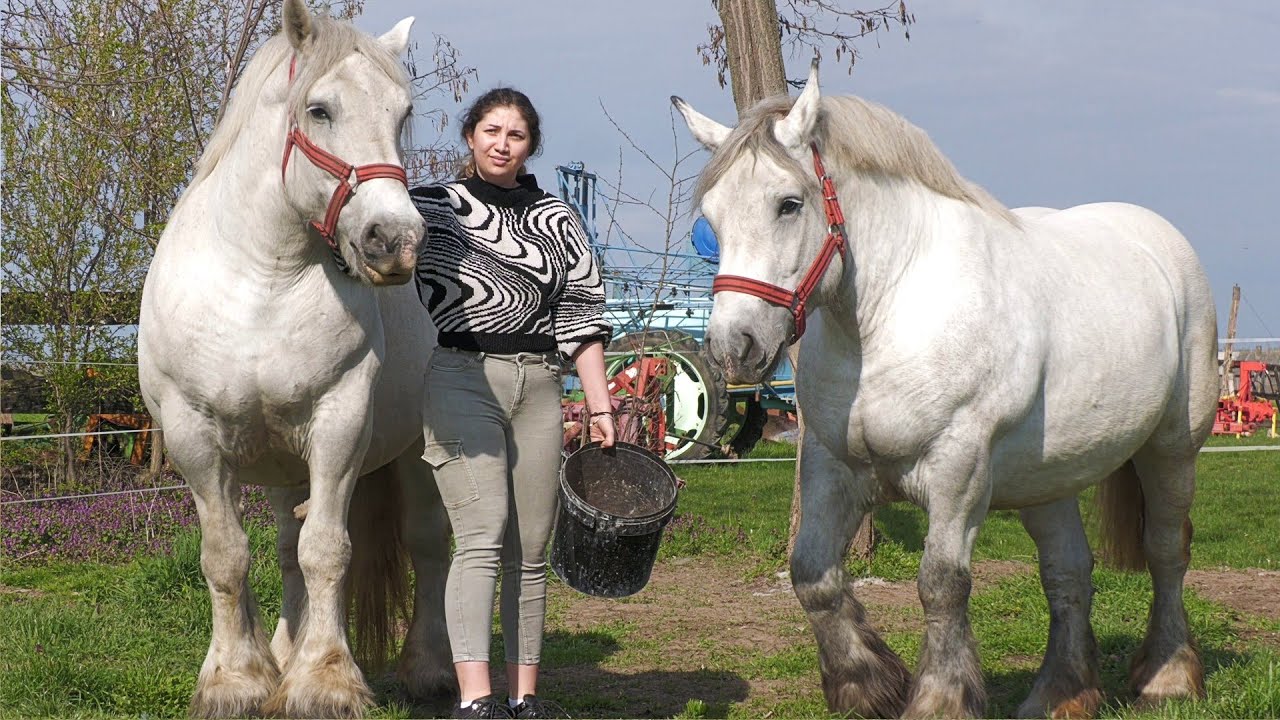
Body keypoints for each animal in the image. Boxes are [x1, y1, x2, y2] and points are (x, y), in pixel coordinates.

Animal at [138, 1, 452, 716]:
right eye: (320, 109)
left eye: (401, 115)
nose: (395, 241)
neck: (264, 279)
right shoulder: (194, 437)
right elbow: (227, 557)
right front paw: (237, 679)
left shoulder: (340, 425)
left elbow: (328, 551)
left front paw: (326, 680)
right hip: (284, 467)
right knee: (284, 548)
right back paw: (281, 654)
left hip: (413, 456)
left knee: (427, 547)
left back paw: (427, 669)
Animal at [673, 61, 1217, 719]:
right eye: (713, 219)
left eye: (788, 204)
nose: (735, 345)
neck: (889, 317)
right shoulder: (833, 463)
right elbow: (812, 574)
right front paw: (866, 685)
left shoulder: (960, 469)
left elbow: (941, 585)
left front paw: (938, 698)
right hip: (1049, 479)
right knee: (1068, 572)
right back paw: (1059, 693)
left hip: (1172, 450)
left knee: (1166, 551)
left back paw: (1168, 676)